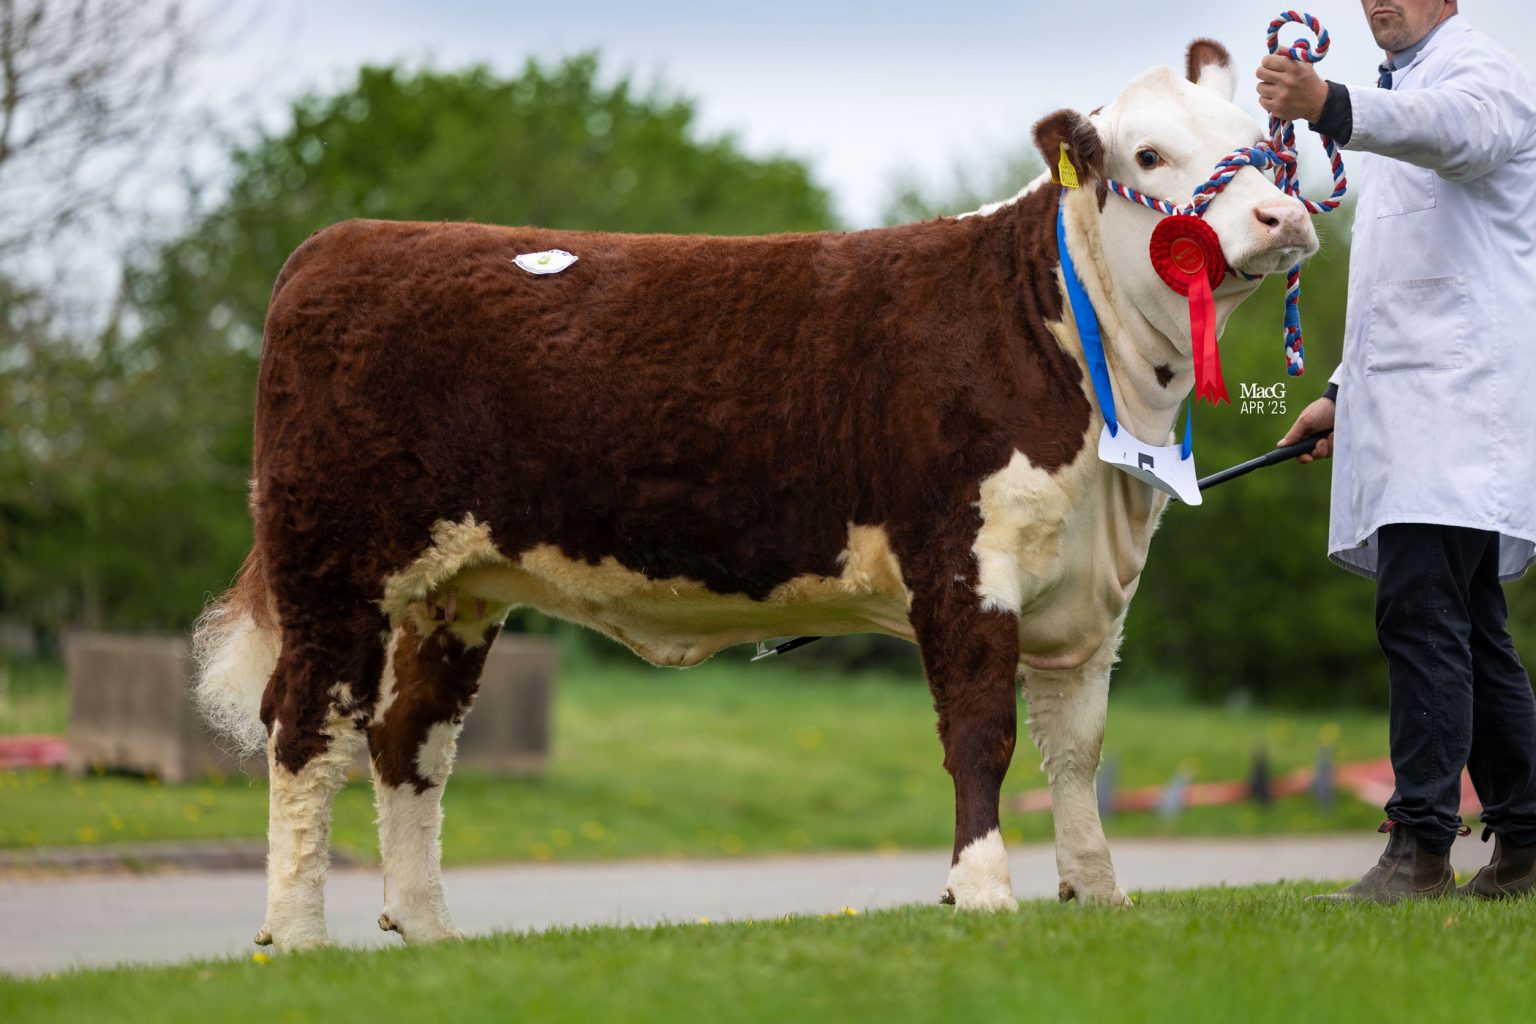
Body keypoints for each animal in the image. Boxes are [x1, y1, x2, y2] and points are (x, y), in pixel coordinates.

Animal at [192, 39, 1318, 950]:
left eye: (1265, 150)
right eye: (1150, 158)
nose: (1284, 216)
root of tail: (343, 242)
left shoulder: (1089, 588)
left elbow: (1078, 750)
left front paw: (1098, 893)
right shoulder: (961, 562)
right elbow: (980, 735)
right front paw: (985, 892)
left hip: (453, 589)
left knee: (410, 741)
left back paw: (428, 933)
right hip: (333, 562)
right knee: (306, 728)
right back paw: (297, 937)